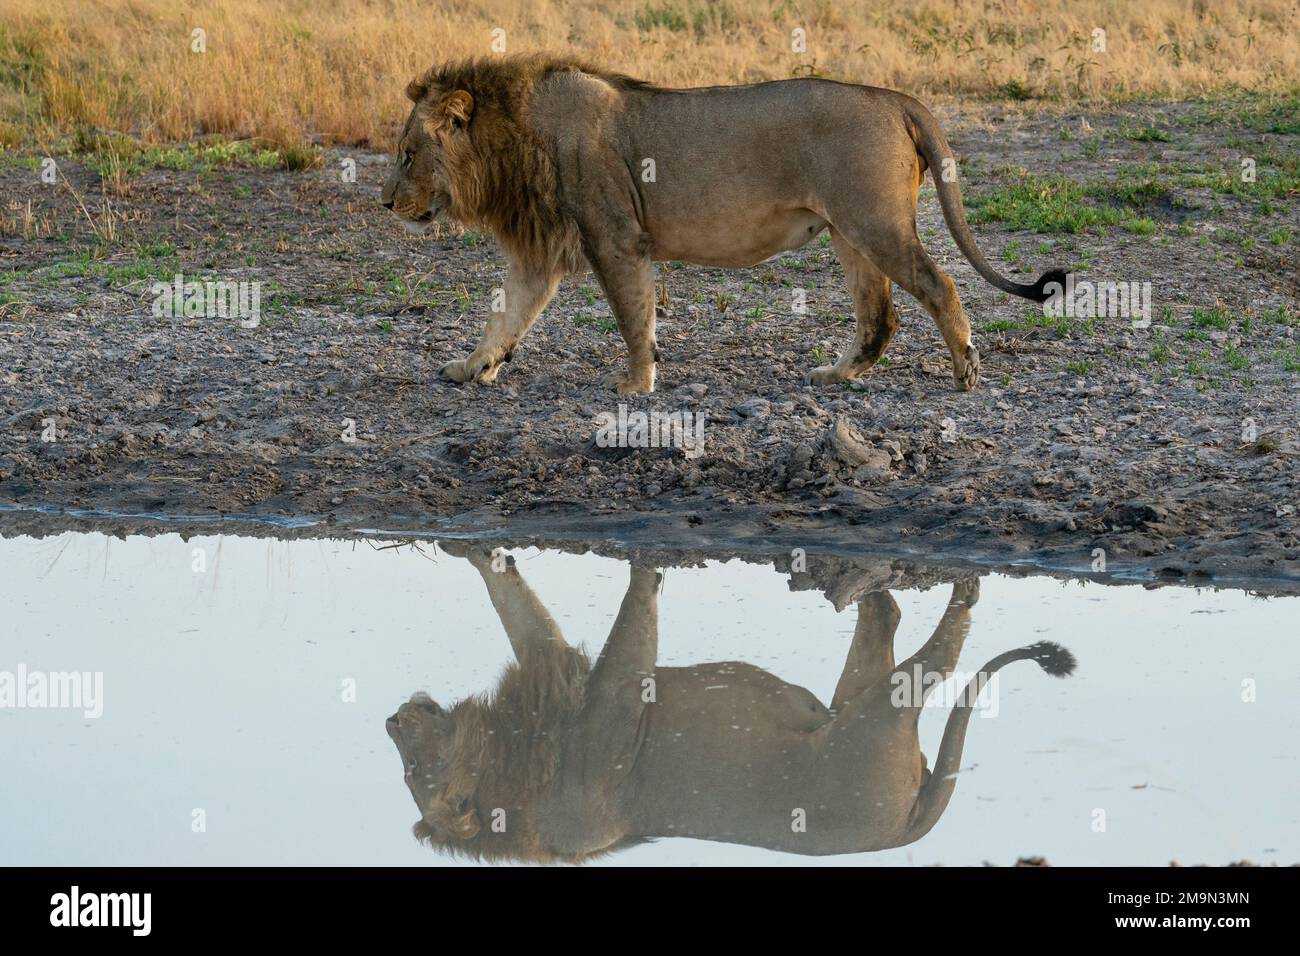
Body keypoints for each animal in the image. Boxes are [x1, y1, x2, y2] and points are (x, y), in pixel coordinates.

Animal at [381, 54, 1065, 394]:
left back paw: (965, 374)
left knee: (938, 285)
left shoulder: (615, 239)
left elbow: (633, 318)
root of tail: (896, 97)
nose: (386, 203)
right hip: (849, 232)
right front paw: (472, 368)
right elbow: (505, 315)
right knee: (880, 317)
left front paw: (636, 384)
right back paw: (836, 375)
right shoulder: (541, 252)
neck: (512, 137)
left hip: (875, 223)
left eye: (408, 154)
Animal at [385, 546, 1076, 861]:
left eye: (414, 770)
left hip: (871, 716)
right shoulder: (589, 694)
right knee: (896, 621)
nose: (391, 719)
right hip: (864, 710)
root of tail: (909, 829)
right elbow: (531, 610)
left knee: (925, 634)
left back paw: (952, 585)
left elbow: (529, 607)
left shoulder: (597, 697)